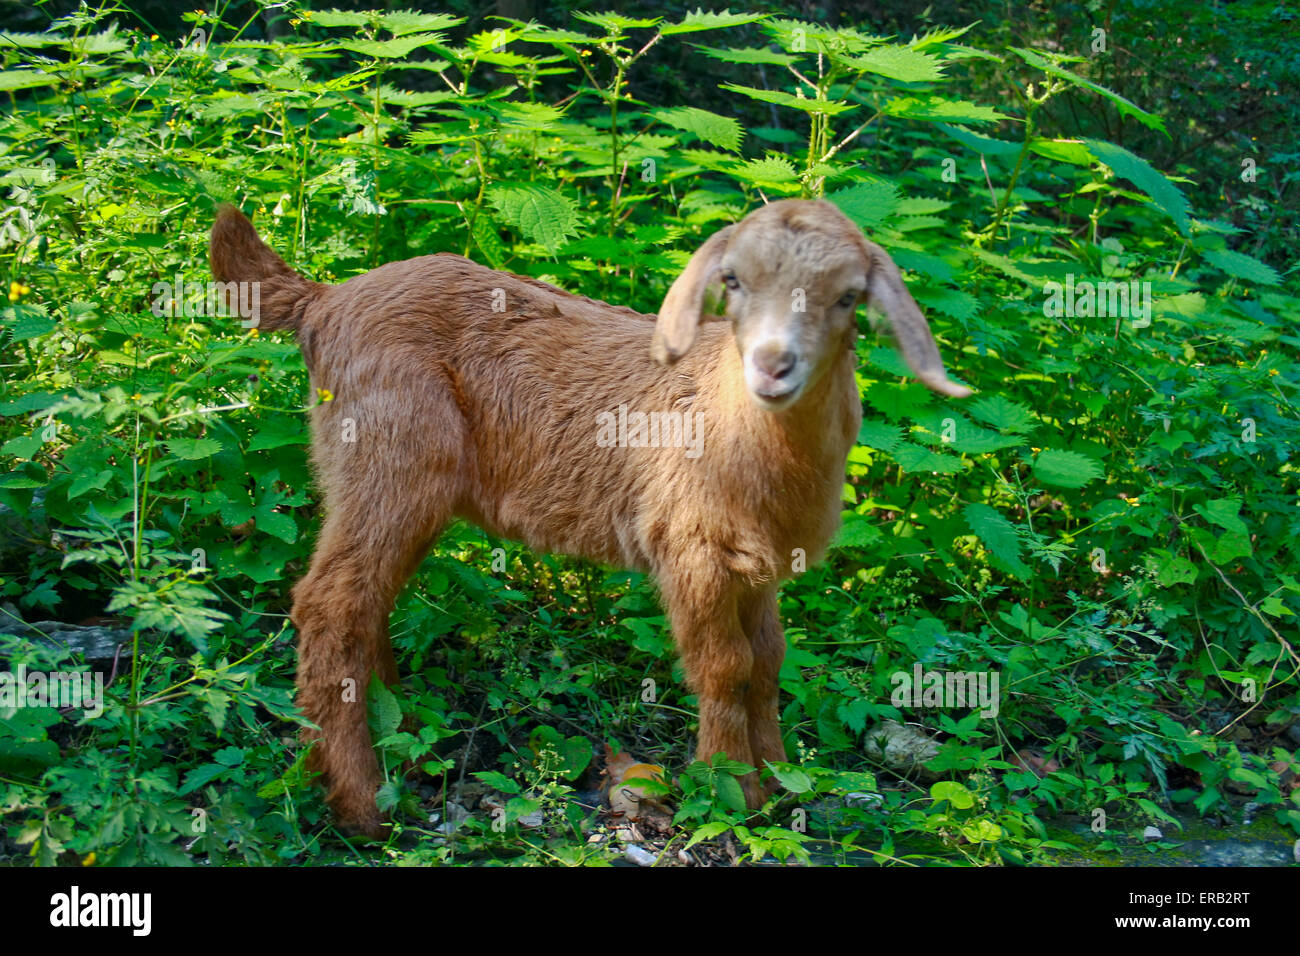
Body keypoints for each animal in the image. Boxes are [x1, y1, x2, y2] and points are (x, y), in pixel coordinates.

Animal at [209, 199, 970, 837]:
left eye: (848, 297)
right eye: (733, 282)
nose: (773, 365)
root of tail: (325, 301)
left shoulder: (759, 565)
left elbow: (768, 661)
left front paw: (779, 785)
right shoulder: (691, 546)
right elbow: (725, 666)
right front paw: (731, 790)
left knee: (367, 603)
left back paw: (390, 751)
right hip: (388, 457)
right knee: (330, 603)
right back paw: (362, 805)